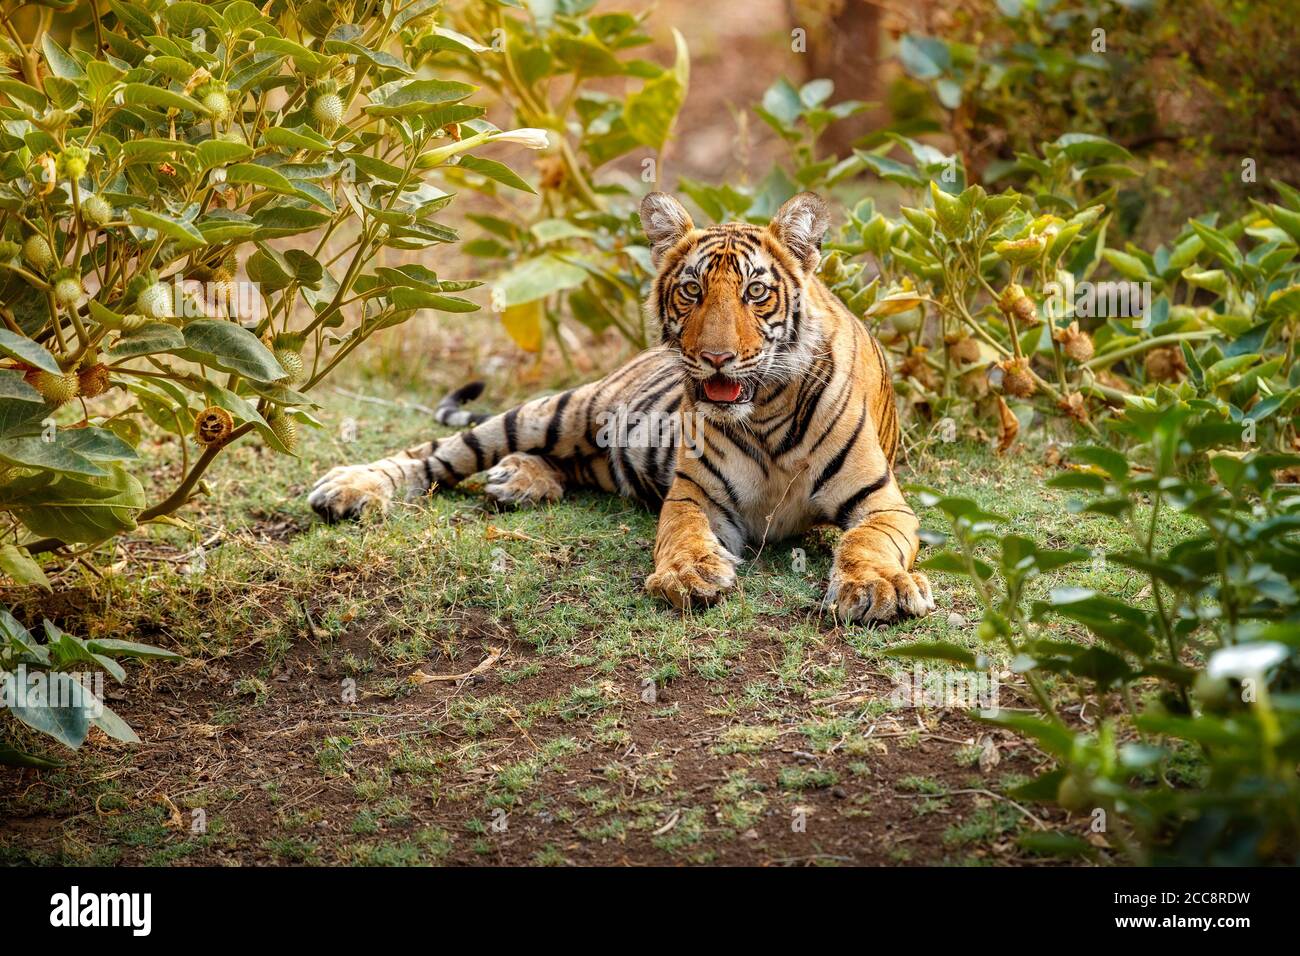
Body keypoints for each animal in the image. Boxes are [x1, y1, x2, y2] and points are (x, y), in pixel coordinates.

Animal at [308, 192, 936, 625]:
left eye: (756, 292)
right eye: (691, 290)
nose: (716, 358)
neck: (765, 414)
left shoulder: (882, 501)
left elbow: (865, 542)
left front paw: (876, 588)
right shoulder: (694, 496)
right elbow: (682, 534)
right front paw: (688, 574)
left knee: (560, 464)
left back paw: (520, 481)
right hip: (561, 410)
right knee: (436, 453)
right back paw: (350, 487)